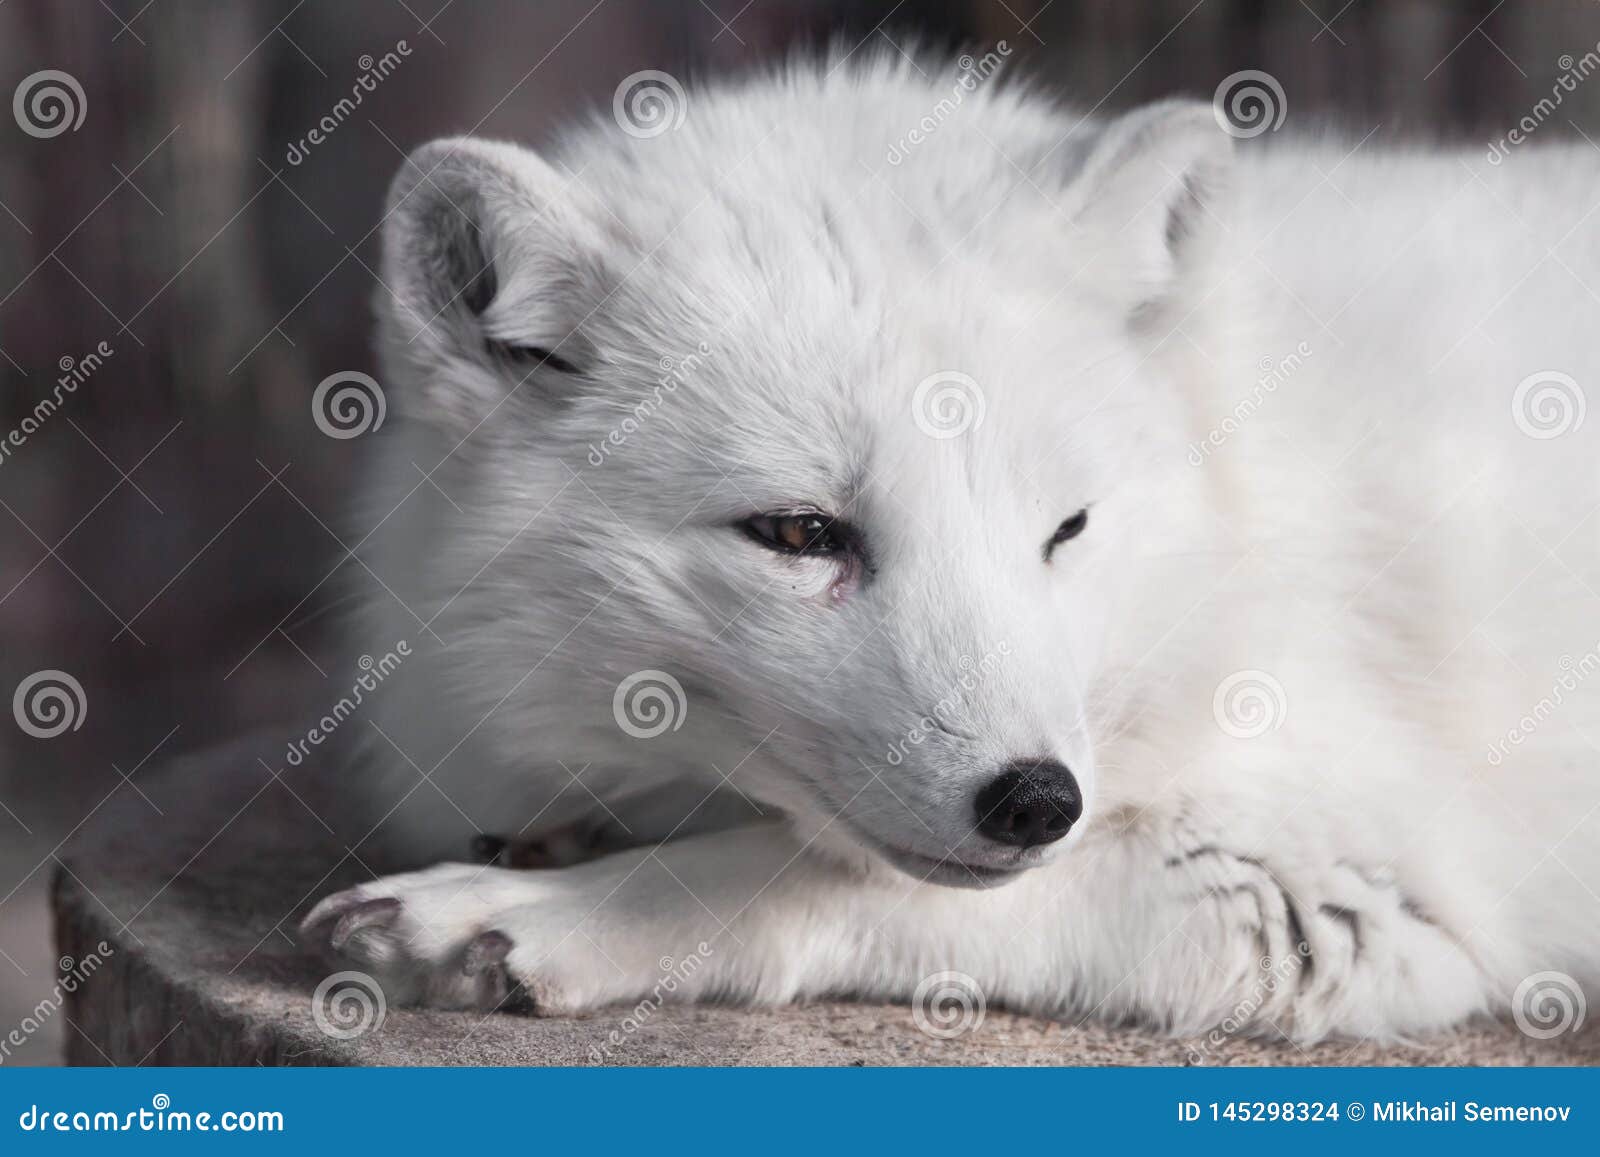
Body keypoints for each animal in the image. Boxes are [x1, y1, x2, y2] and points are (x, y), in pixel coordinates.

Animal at [301, 57, 1600, 1045]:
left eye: (1066, 528)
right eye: (799, 533)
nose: (1036, 801)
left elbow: (810, 873)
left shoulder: (1337, 885)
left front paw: (539, 913)